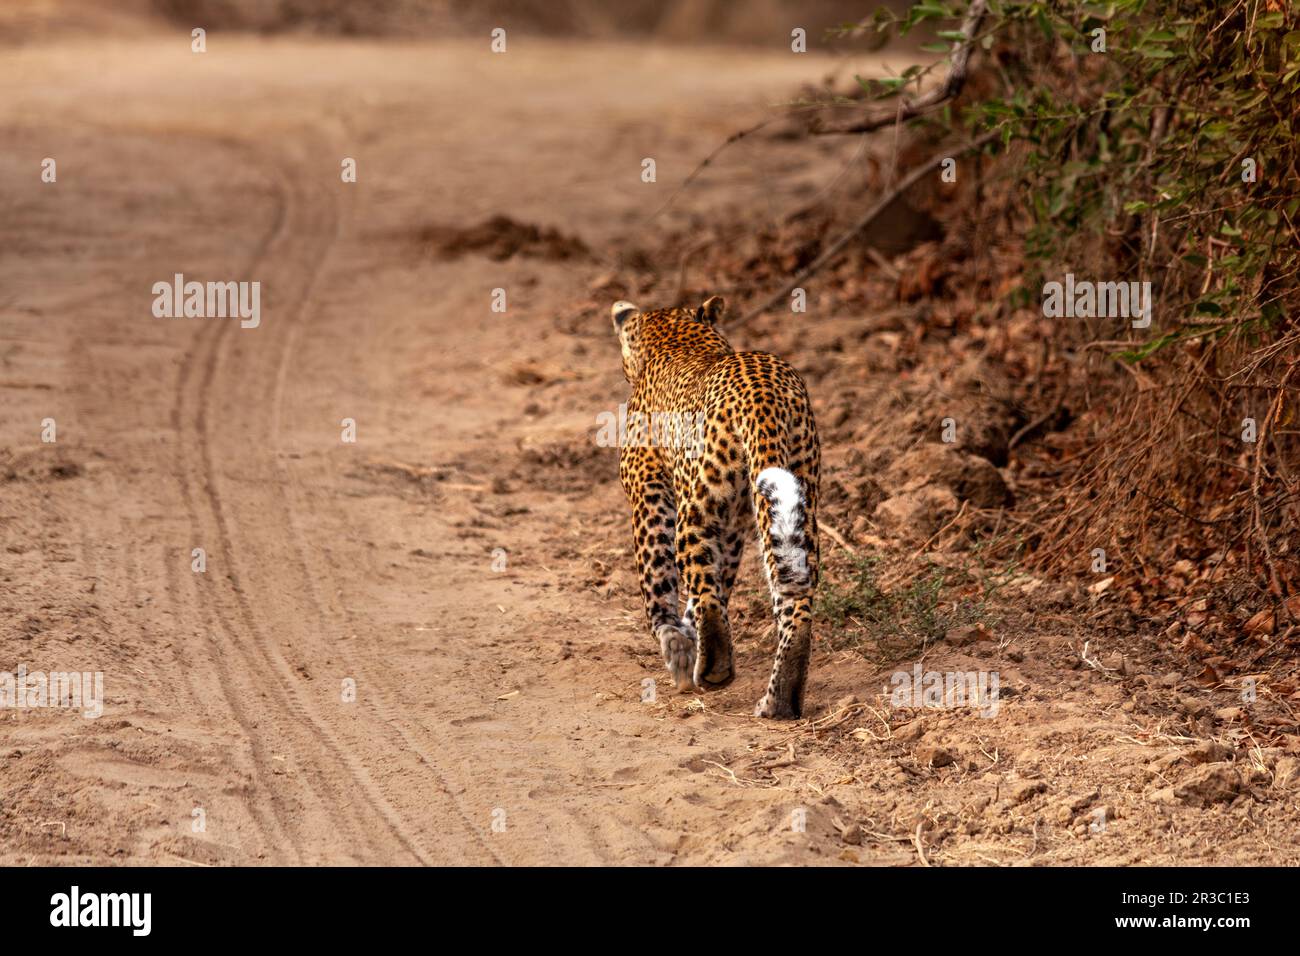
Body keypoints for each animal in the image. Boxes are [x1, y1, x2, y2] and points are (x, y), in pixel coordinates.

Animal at [611, 294, 820, 719]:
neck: (677, 335)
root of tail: (763, 392)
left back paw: (713, 668)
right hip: (794, 497)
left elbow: (660, 584)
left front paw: (675, 641)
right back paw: (780, 699)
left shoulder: (647, 492)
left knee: (701, 578)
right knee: (794, 596)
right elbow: (720, 579)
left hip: (700, 499)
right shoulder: (736, 522)